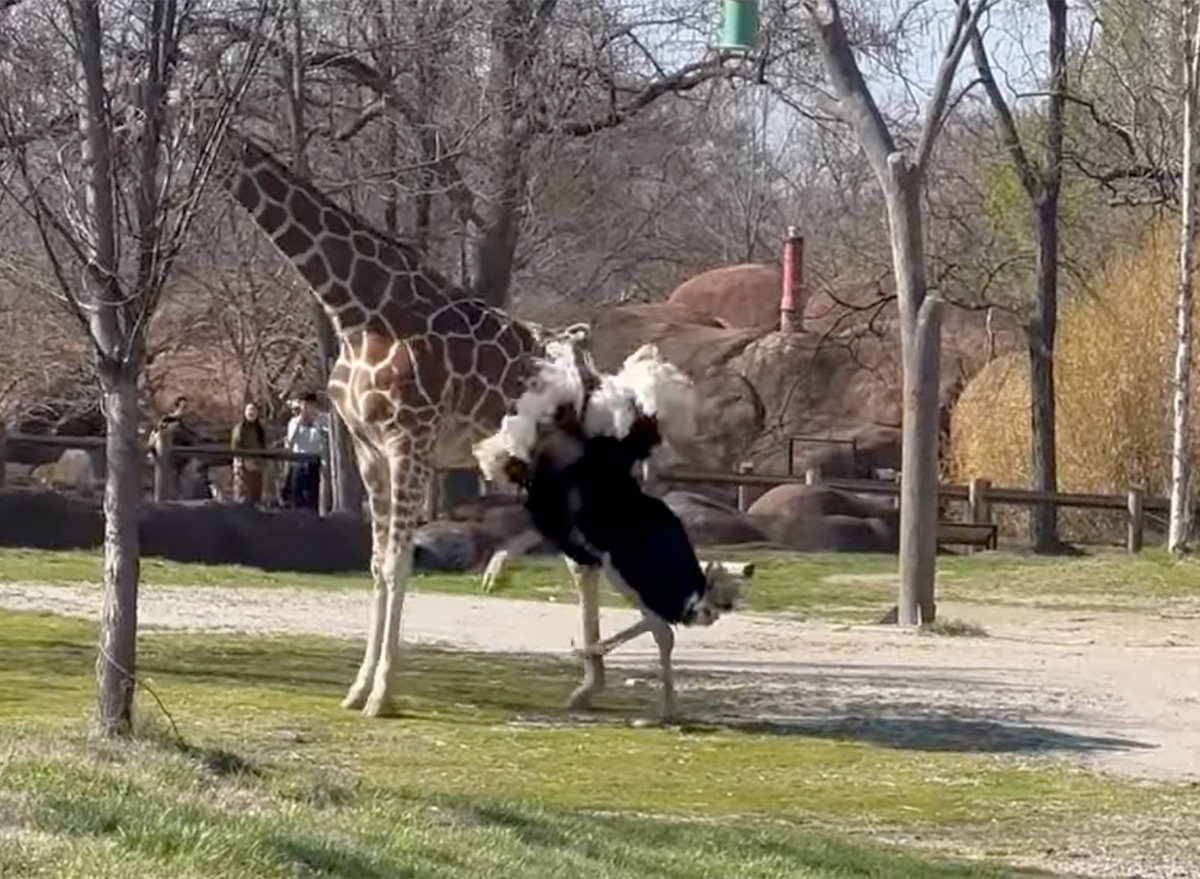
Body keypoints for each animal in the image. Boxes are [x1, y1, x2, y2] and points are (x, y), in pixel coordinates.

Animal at [213, 131, 609, 716]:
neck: (356, 310)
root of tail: (592, 372)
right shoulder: (367, 448)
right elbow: (378, 562)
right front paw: (358, 688)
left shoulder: (410, 441)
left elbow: (400, 561)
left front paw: (382, 693)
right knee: (580, 555)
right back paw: (587, 684)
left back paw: (597, 680)